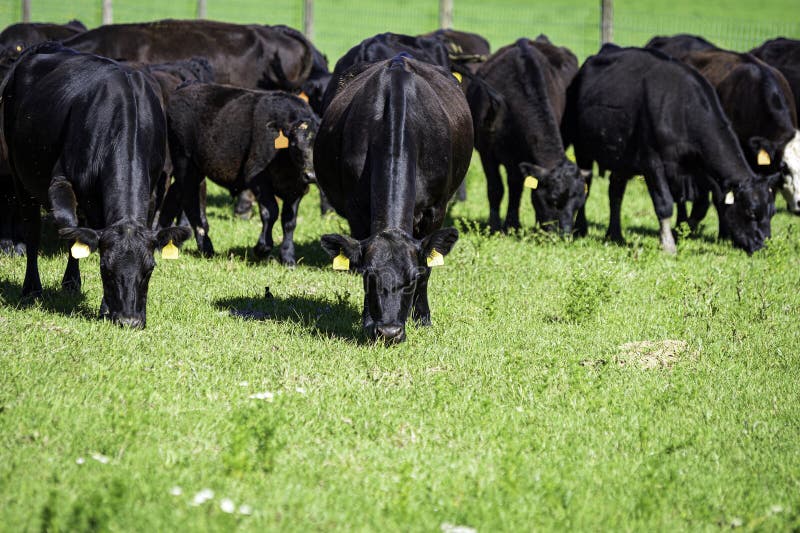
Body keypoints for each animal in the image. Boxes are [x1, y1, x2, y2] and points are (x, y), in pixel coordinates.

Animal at [1, 43, 191, 327]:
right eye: (105, 269)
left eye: (149, 269)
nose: (129, 321)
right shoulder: (62, 181)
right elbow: (72, 228)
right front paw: (105, 306)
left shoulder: (152, 190)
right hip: (18, 174)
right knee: (33, 229)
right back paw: (32, 288)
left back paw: (71, 283)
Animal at [163, 83, 318, 265]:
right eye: (294, 144)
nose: (311, 175)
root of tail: (185, 86)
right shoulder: (256, 177)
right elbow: (270, 212)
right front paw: (262, 248)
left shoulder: (297, 189)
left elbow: (289, 222)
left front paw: (288, 258)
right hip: (184, 162)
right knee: (190, 202)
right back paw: (206, 247)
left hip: (197, 168)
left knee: (179, 195)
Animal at [315, 55, 473, 343]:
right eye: (370, 277)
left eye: (411, 278)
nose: (389, 332)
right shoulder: (356, 211)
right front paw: (367, 321)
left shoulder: (436, 209)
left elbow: (429, 266)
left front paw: (422, 317)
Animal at [466, 37, 587, 233]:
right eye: (554, 200)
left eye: (578, 204)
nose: (564, 234)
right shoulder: (487, 152)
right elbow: (496, 189)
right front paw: (496, 226)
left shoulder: (520, 158)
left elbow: (520, 188)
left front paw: (514, 224)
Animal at [562, 45, 779, 254]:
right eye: (751, 212)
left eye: (772, 212)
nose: (762, 245)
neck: (681, 109)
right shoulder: (652, 162)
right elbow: (665, 204)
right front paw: (668, 244)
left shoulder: (699, 168)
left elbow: (703, 205)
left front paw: (682, 231)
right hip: (582, 147)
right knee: (587, 183)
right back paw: (580, 228)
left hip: (621, 156)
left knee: (615, 190)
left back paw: (615, 234)